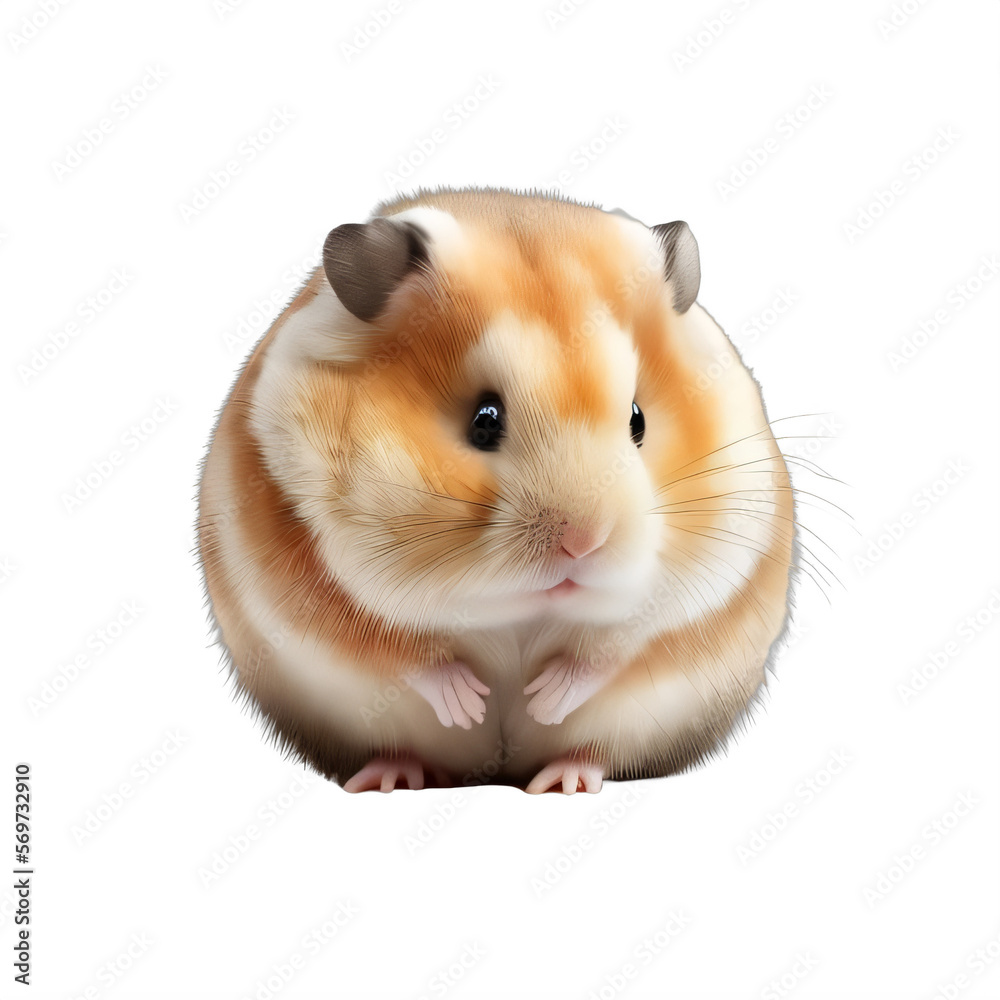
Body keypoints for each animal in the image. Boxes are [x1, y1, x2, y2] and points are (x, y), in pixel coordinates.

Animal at [197, 186, 796, 794]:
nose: (582, 544)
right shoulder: (307, 578)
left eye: (637, 419)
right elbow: (398, 650)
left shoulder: (707, 579)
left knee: (595, 748)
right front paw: (472, 705)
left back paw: (560, 781)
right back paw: (394, 778)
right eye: (484, 421)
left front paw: (541, 701)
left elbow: (616, 647)